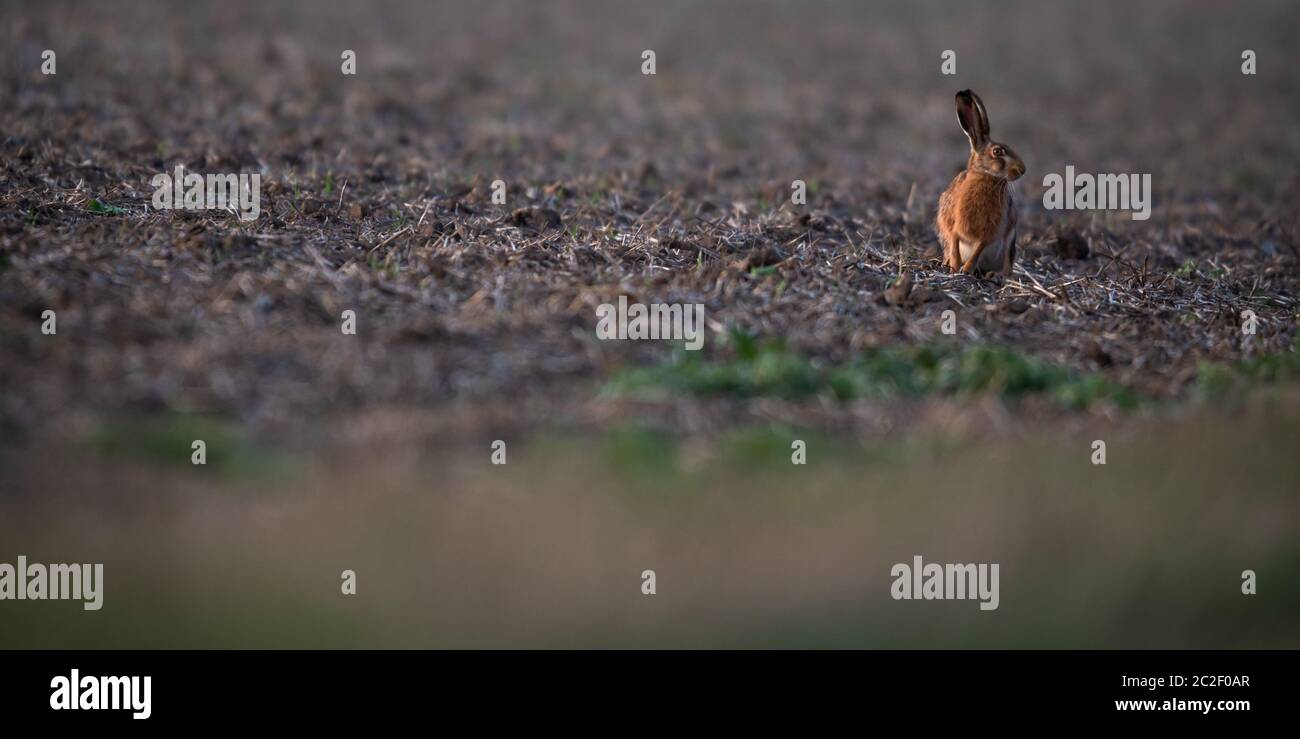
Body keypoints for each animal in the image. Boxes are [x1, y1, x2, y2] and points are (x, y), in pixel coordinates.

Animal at [936, 90, 1026, 276]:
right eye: (997, 152)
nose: (1022, 170)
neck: (986, 177)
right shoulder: (952, 223)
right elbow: (954, 239)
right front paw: (955, 266)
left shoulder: (991, 231)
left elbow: (980, 247)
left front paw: (966, 269)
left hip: (1009, 242)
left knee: (1006, 268)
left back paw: (995, 275)